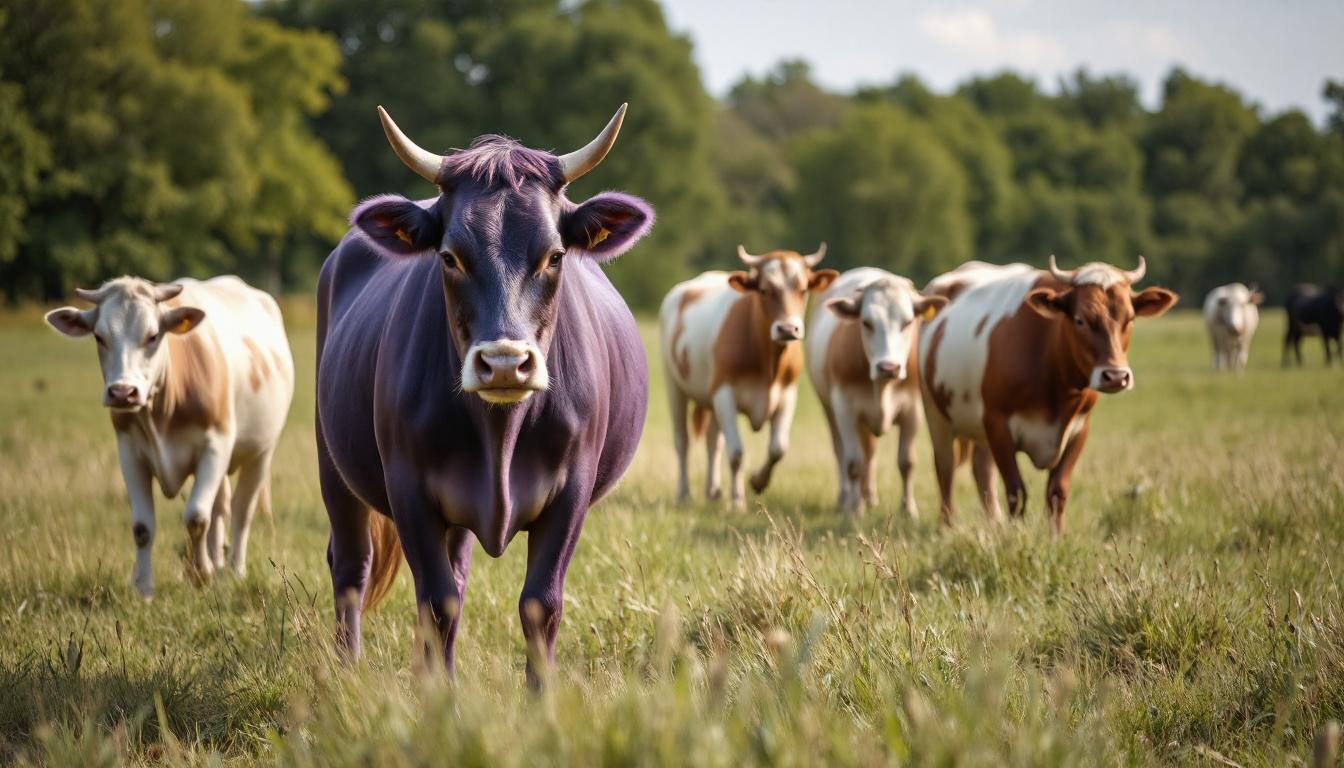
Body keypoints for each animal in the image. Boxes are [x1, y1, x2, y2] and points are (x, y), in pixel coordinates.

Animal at [45, 276, 294, 596]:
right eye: (99, 337)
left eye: (152, 336)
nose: (123, 392)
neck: (161, 409)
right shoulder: (129, 451)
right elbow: (142, 527)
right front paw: (143, 587)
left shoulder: (216, 446)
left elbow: (196, 516)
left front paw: (200, 574)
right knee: (221, 506)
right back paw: (217, 559)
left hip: (261, 453)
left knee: (241, 511)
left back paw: (234, 570)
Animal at [316, 104, 654, 685]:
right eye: (450, 257)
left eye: (555, 255)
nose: (504, 363)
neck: (500, 433)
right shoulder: (406, 484)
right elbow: (437, 602)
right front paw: (441, 699)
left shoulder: (573, 488)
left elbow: (540, 603)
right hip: (333, 464)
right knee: (352, 563)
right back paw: (348, 668)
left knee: (456, 570)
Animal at [659, 245, 836, 507]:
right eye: (764, 289)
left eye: (803, 289)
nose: (787, 329)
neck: (768, 363)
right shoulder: (724, 394)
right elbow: (736, 453)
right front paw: (737, 500)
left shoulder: (787, 394)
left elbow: (778, 448)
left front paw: (758, 482)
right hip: (675, 386)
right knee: (683, 441)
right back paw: (684, 494)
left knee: (713, 442)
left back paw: (712, 492)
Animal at [805, 268, 947, 517]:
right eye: (866, 322)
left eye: (907, 322)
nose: (888, 367)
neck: (882, 387)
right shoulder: (845, 410)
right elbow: (853, 462)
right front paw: (854, 510)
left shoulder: (913, 410)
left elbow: (906, 462)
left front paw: (908, 509)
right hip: (830, 411)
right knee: (842, 453)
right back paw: (847, 498)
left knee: (870, 454)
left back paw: (868, 496)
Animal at [919, 257, 1177, 535]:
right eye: (1080, 320)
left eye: (1129, 319)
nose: (1116, 376)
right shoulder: (998, 423)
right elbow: (1016, 492)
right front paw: (1016, 536)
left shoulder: (1079, 429)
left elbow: (1057, 491)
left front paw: (1056, 536)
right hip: (937, 414)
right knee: (945, 469)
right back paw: (947, 526)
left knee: (982, 469)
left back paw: (994, 522)